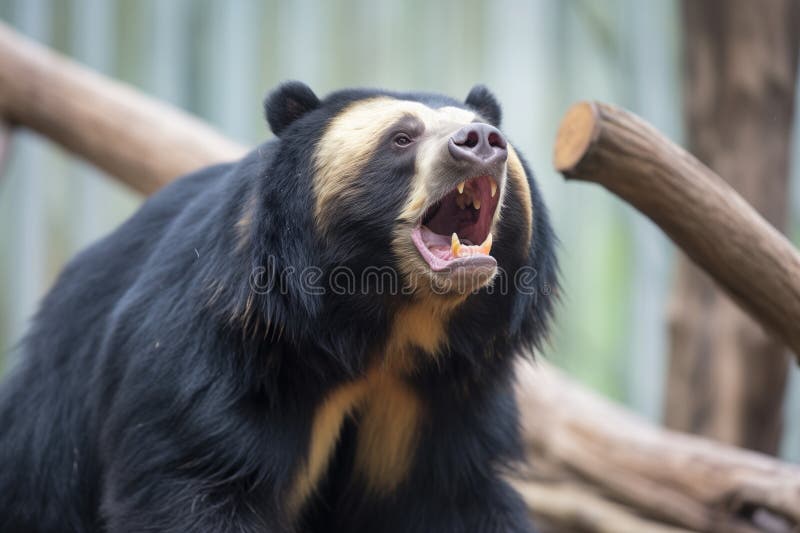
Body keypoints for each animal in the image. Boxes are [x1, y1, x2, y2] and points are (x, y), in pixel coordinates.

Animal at [0, 81, 558, 533]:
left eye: (492, 136)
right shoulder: (224, 348)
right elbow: (195, 479)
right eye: (402, 137)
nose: (481, 141)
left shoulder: (447, 391)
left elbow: (452, 498)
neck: (388, 326)